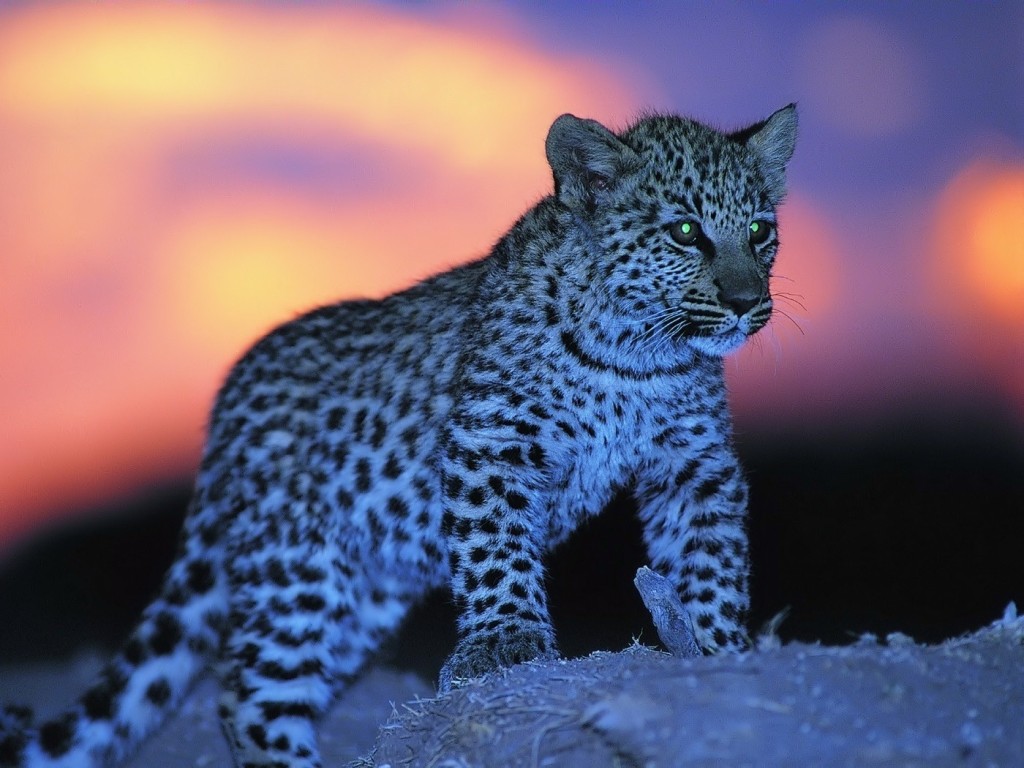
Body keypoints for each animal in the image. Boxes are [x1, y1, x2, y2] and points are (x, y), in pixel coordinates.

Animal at [0, 104, 797, 768]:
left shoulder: (696, 463)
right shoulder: (492, 440)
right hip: (298, 570)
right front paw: (507, 642)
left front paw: (719, 651)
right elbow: (497, 554)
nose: (746, 303)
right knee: (248, 695)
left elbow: (711, 558)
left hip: (364, 590)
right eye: (686, 232)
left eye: (760, 232)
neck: (640, 354)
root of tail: (225, 406)